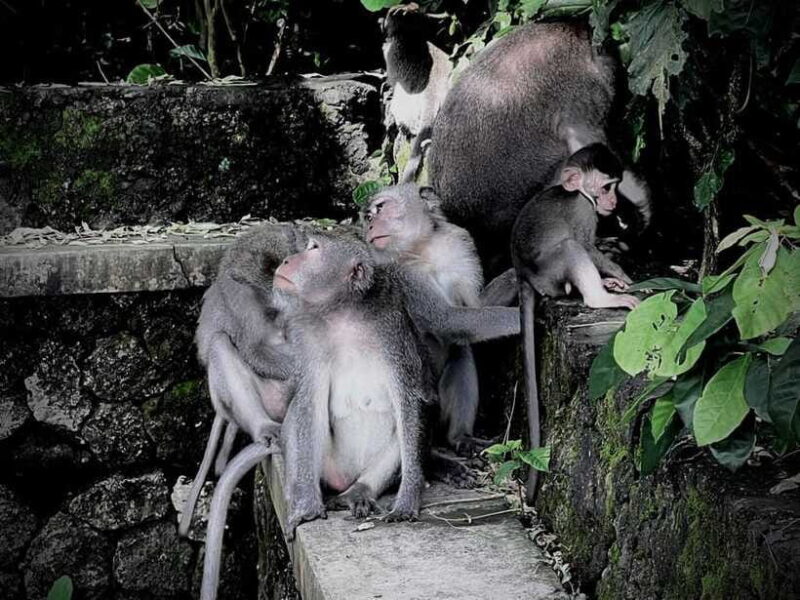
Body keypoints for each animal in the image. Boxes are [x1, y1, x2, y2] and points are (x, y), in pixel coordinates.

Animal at [511, 144, 639, 504]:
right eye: (607, 187)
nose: (614, 203)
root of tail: (523, 276)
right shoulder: (584, 210)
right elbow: (586, 246)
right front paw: (624, 275)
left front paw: (619, 277)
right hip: (551, 274)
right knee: (570, 248)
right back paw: (600, 298)